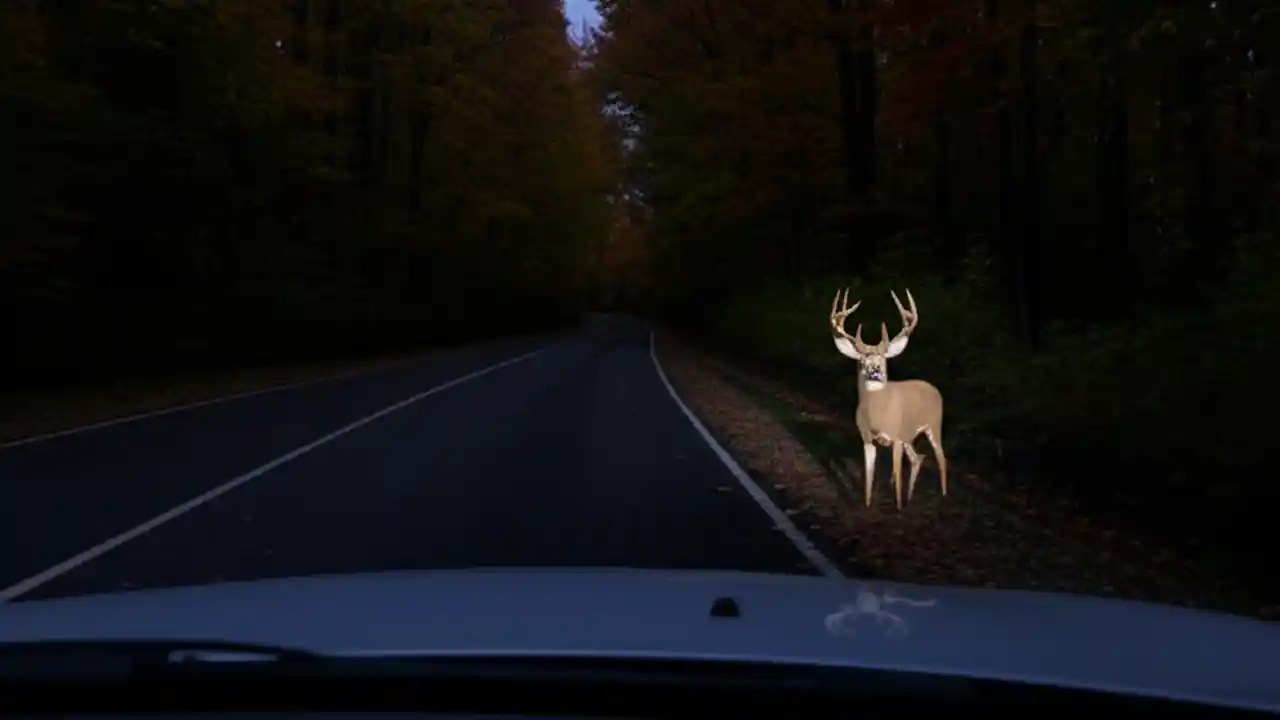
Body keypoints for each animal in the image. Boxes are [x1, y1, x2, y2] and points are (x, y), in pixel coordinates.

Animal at [829, 288, 947, 510]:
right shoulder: (867, 437)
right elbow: (869, 475)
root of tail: (933, 387)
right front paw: (867, 504)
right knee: (918, 458)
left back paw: (943, 495)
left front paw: (898, 507)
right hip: (910, 434)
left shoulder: (897, 437)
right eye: (862, 360)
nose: (875, 370)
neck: (877, 414)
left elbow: (896, 473)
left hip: (933, 424)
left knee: (941, 458)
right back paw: (911, 497)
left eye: (883, 359)